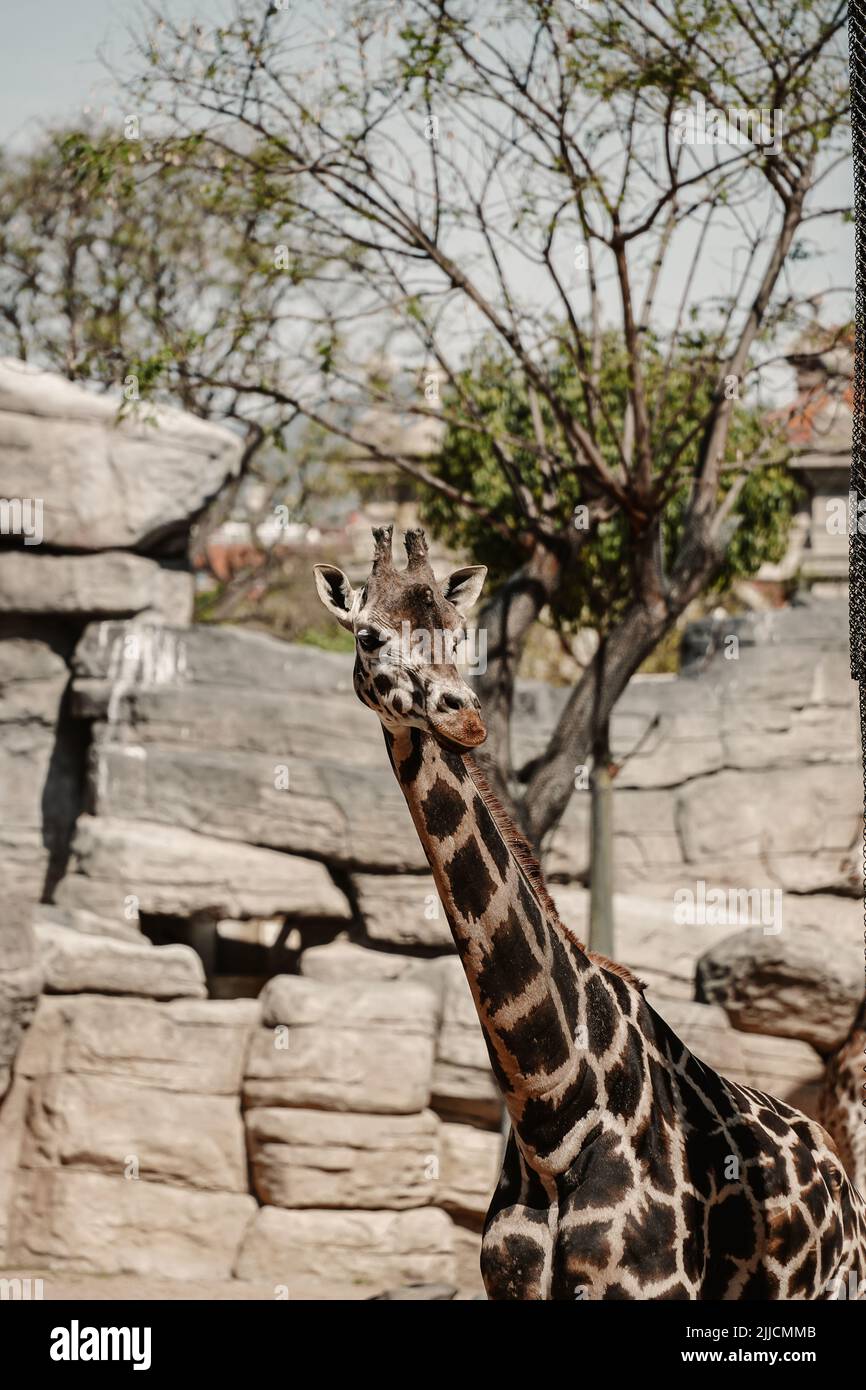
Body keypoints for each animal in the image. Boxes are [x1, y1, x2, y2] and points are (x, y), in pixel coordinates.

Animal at [314, 525, 866, 1300]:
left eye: (458, 631)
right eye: (367, 635)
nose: (466, 716)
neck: (551, 1117)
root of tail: (842, 1181)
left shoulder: (653, 1290)